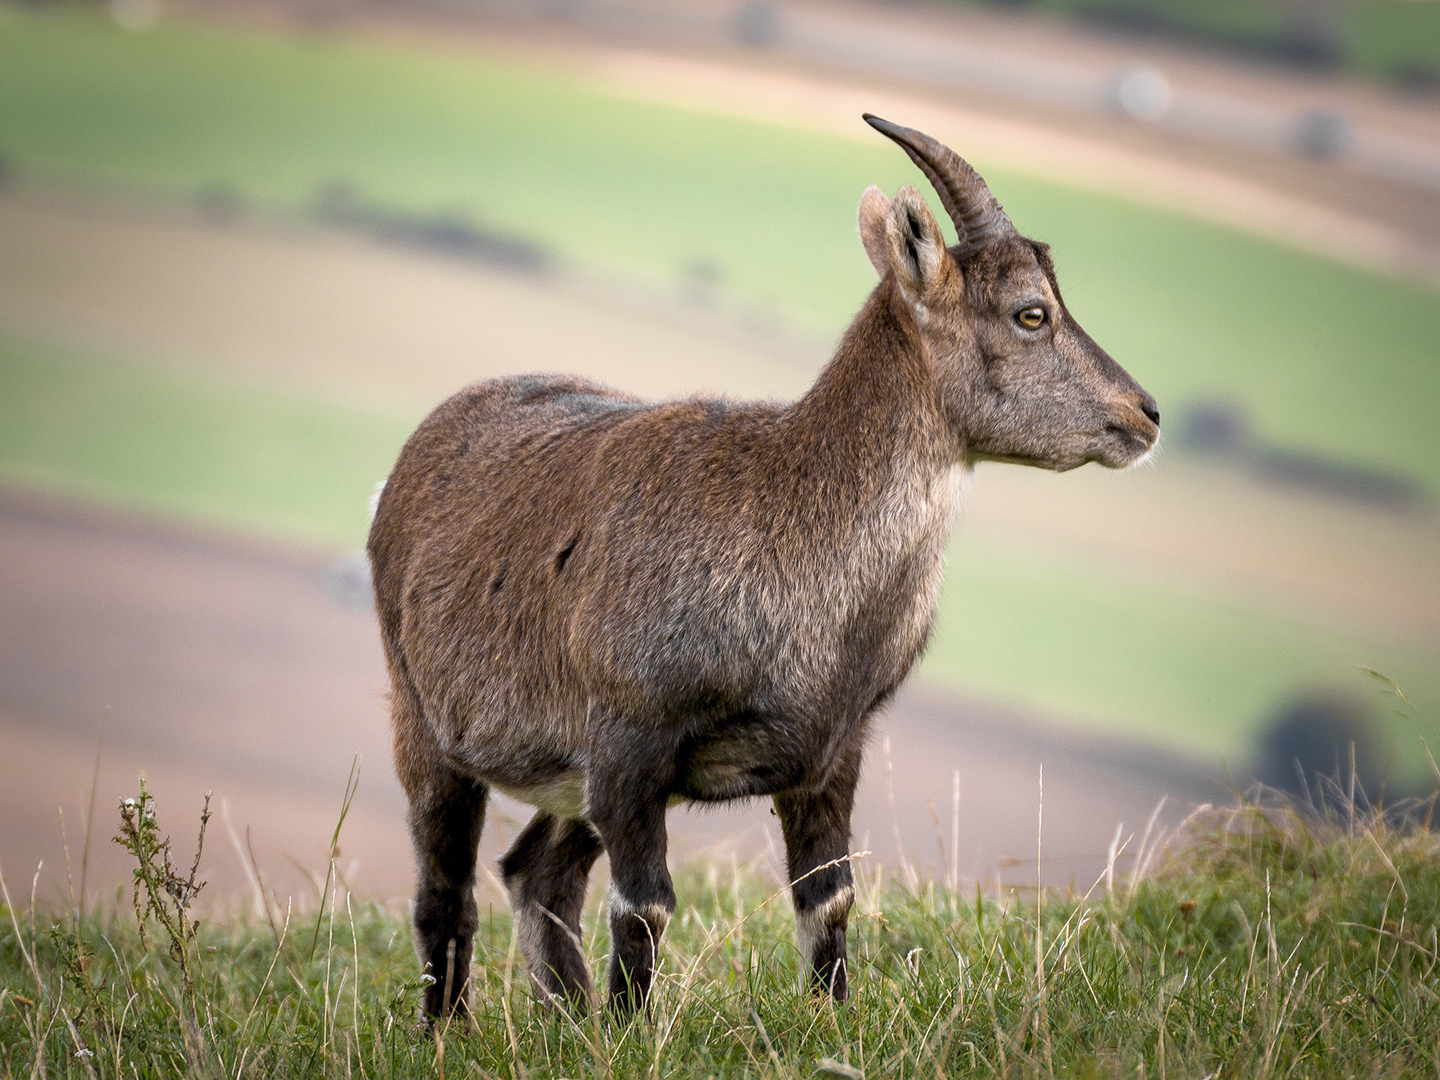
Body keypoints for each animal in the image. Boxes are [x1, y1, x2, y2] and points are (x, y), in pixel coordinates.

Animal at [367, 115, 1159, 1019]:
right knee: (447, 893)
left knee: (535, 873)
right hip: (430, 723)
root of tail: (412, 458)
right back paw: (452, 1030)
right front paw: (633, 1033)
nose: (1145, 414)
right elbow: (644, 907)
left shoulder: (832, 750)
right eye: (1032, 312)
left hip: (569, 782)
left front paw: (831, 1024)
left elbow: (828, 901)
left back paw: (568, 1023)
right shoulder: (631, 741)